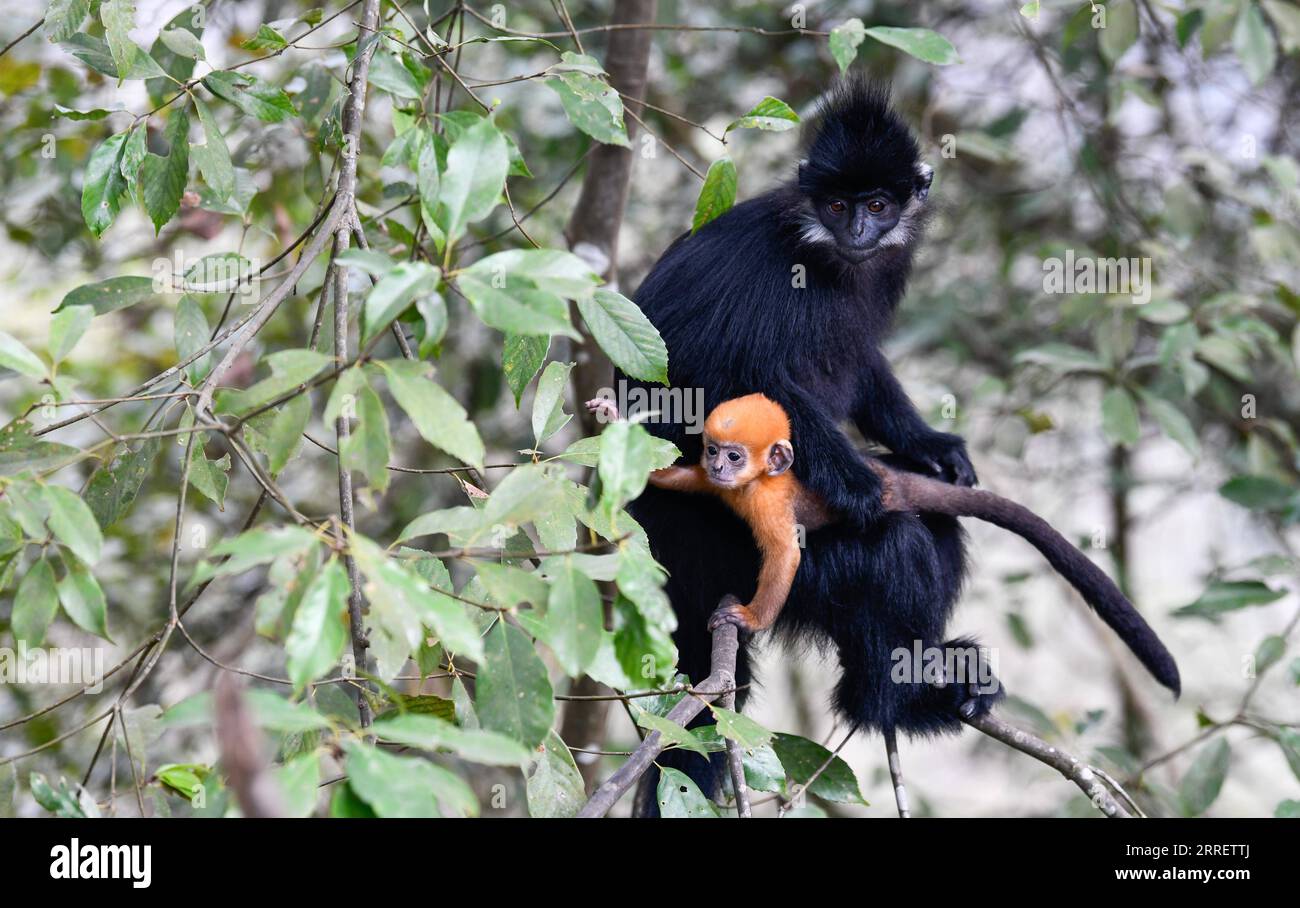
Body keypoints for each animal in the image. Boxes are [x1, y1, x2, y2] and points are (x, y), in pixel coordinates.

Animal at [609, 76, 1180, 814]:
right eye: (839, 204)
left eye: (877, 204)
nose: (857, 228)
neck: (823, 254)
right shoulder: (771, 277)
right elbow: (725, 377)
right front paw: (858, 485)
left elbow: (861, 365)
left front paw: (934, 446)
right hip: (733, 551)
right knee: (891, 545)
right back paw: (884, 699)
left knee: (934, 530)